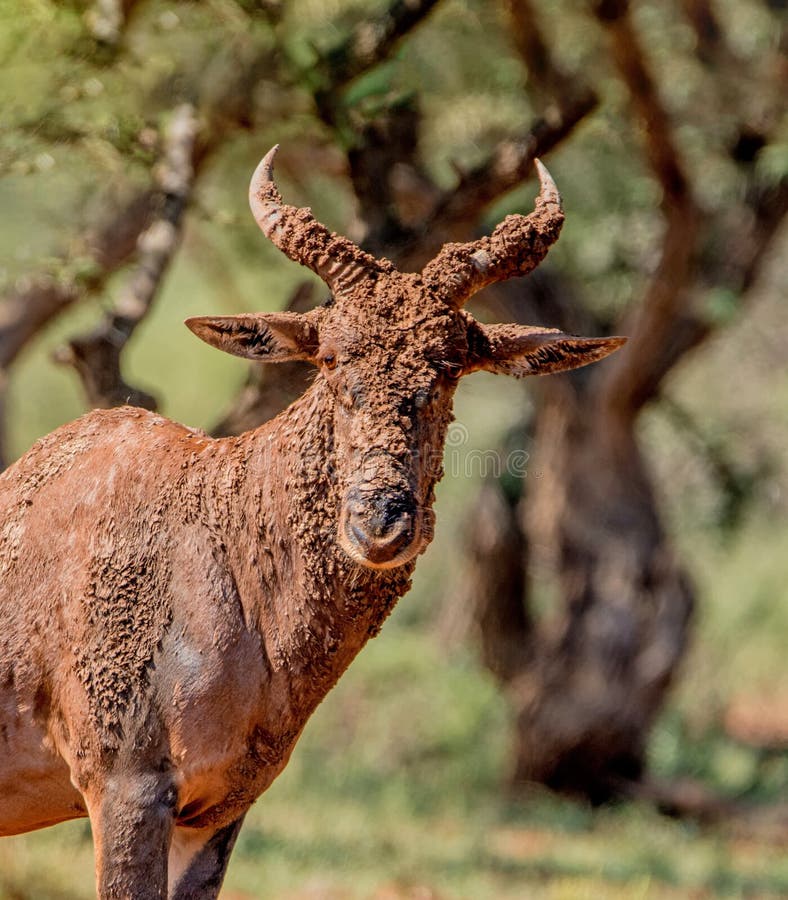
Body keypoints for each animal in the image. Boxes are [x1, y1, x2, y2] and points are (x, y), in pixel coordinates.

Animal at [0, 146, 624, 898]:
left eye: (451, 364)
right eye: (330, 357)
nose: (380, 522)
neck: (215, 530)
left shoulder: (216, 812)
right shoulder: (125, 790)